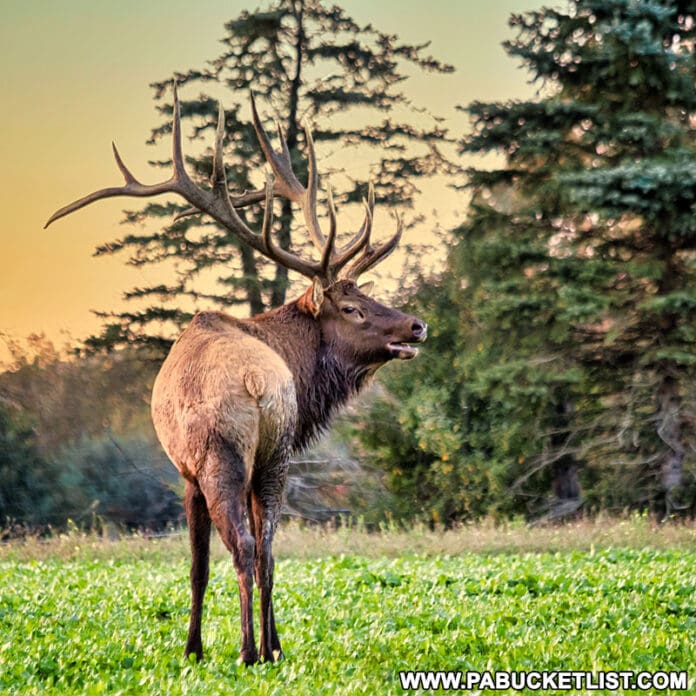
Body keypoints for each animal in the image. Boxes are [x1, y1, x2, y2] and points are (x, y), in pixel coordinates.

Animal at [45, 84, 427, 665]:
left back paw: (246, 650)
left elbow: (197, 567)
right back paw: (270, 649)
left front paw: (193, 648)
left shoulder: (185, 474)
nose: (417, 325)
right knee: (267, 548)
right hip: (272, 456)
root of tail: (257, 386)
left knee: (243, 548)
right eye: (354, 307)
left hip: (218, 457)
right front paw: (269, 643)